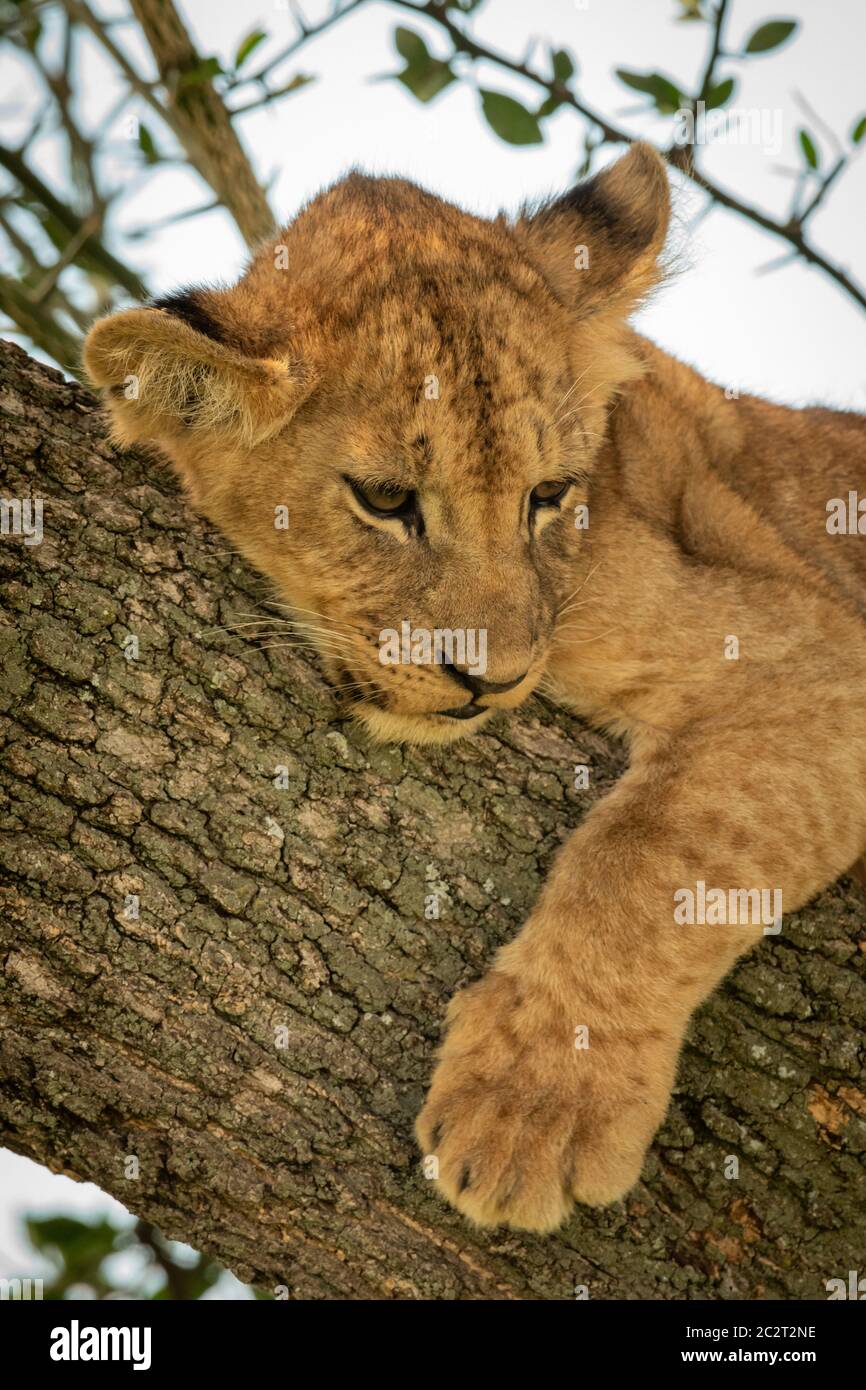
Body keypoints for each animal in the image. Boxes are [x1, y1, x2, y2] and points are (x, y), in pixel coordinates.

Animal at [84, 143, 866, 1232]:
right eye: (383, 499)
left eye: (549, 493)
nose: (488, 678)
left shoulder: (813, 650)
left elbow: (653, 855)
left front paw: (533, 1111)